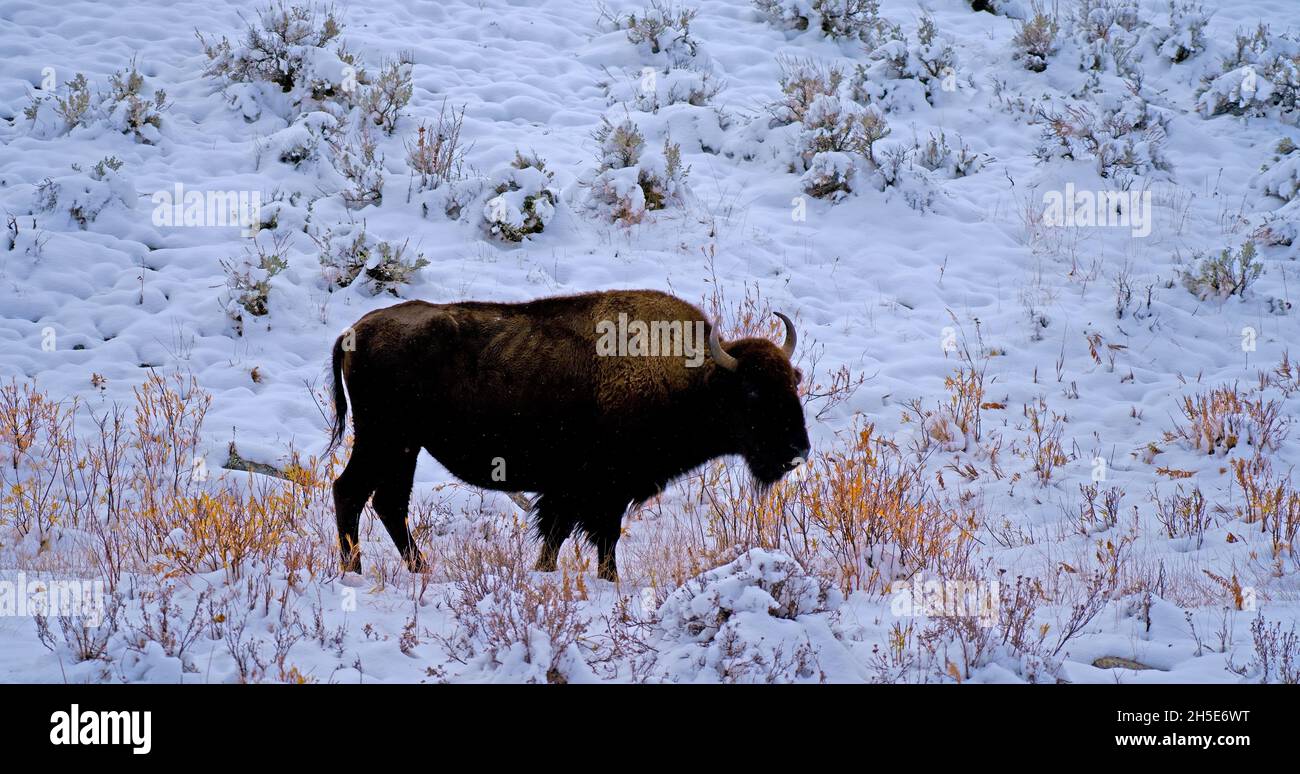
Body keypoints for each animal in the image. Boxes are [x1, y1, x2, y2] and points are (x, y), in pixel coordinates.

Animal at [328, 289, 809, 581]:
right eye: (752, 391)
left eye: (793, 383)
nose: (798, 450)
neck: (693, 380)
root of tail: (353, 332)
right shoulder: (600, 492)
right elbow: (602, 540)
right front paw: (607, 581)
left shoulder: (572, 494)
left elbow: (557, 538)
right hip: (383, 439)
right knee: (350, 491)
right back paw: (356, 571)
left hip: (404, 446)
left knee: (388, 503)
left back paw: (421, 570)